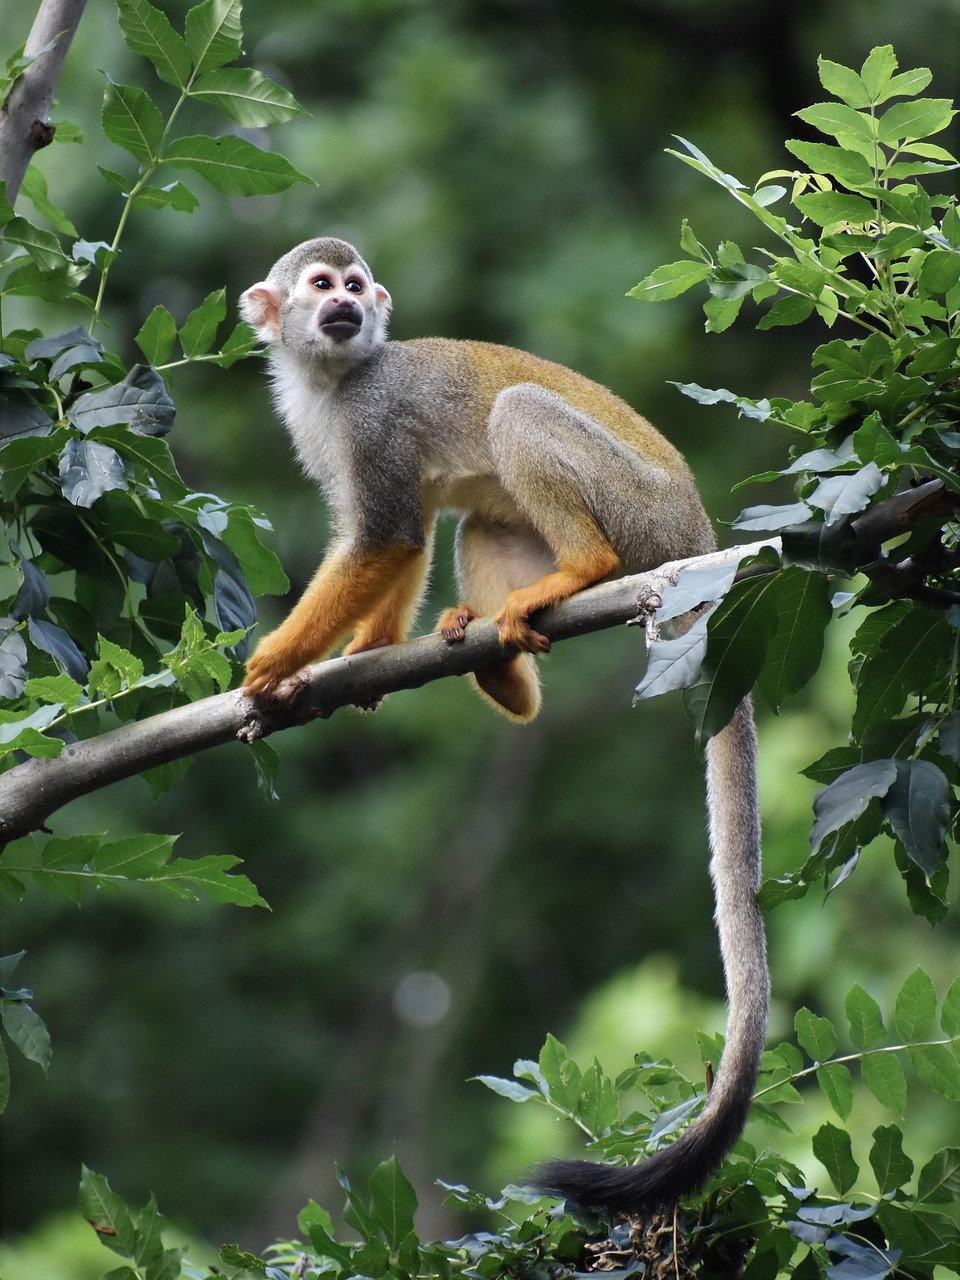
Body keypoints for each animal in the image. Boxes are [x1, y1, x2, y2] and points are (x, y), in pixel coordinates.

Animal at [238, 236, 767, 1217]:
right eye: (321, 287)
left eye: (353, 287)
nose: (347, 309)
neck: (335, 378)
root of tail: (701, 540)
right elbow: (405, 532)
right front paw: (367, 653)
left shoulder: (372, 419)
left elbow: (390, 536)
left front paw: (272, 664)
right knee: (480, 519)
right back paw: (497, 670)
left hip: (640, 513)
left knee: (519, 414)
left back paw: (579, 572)